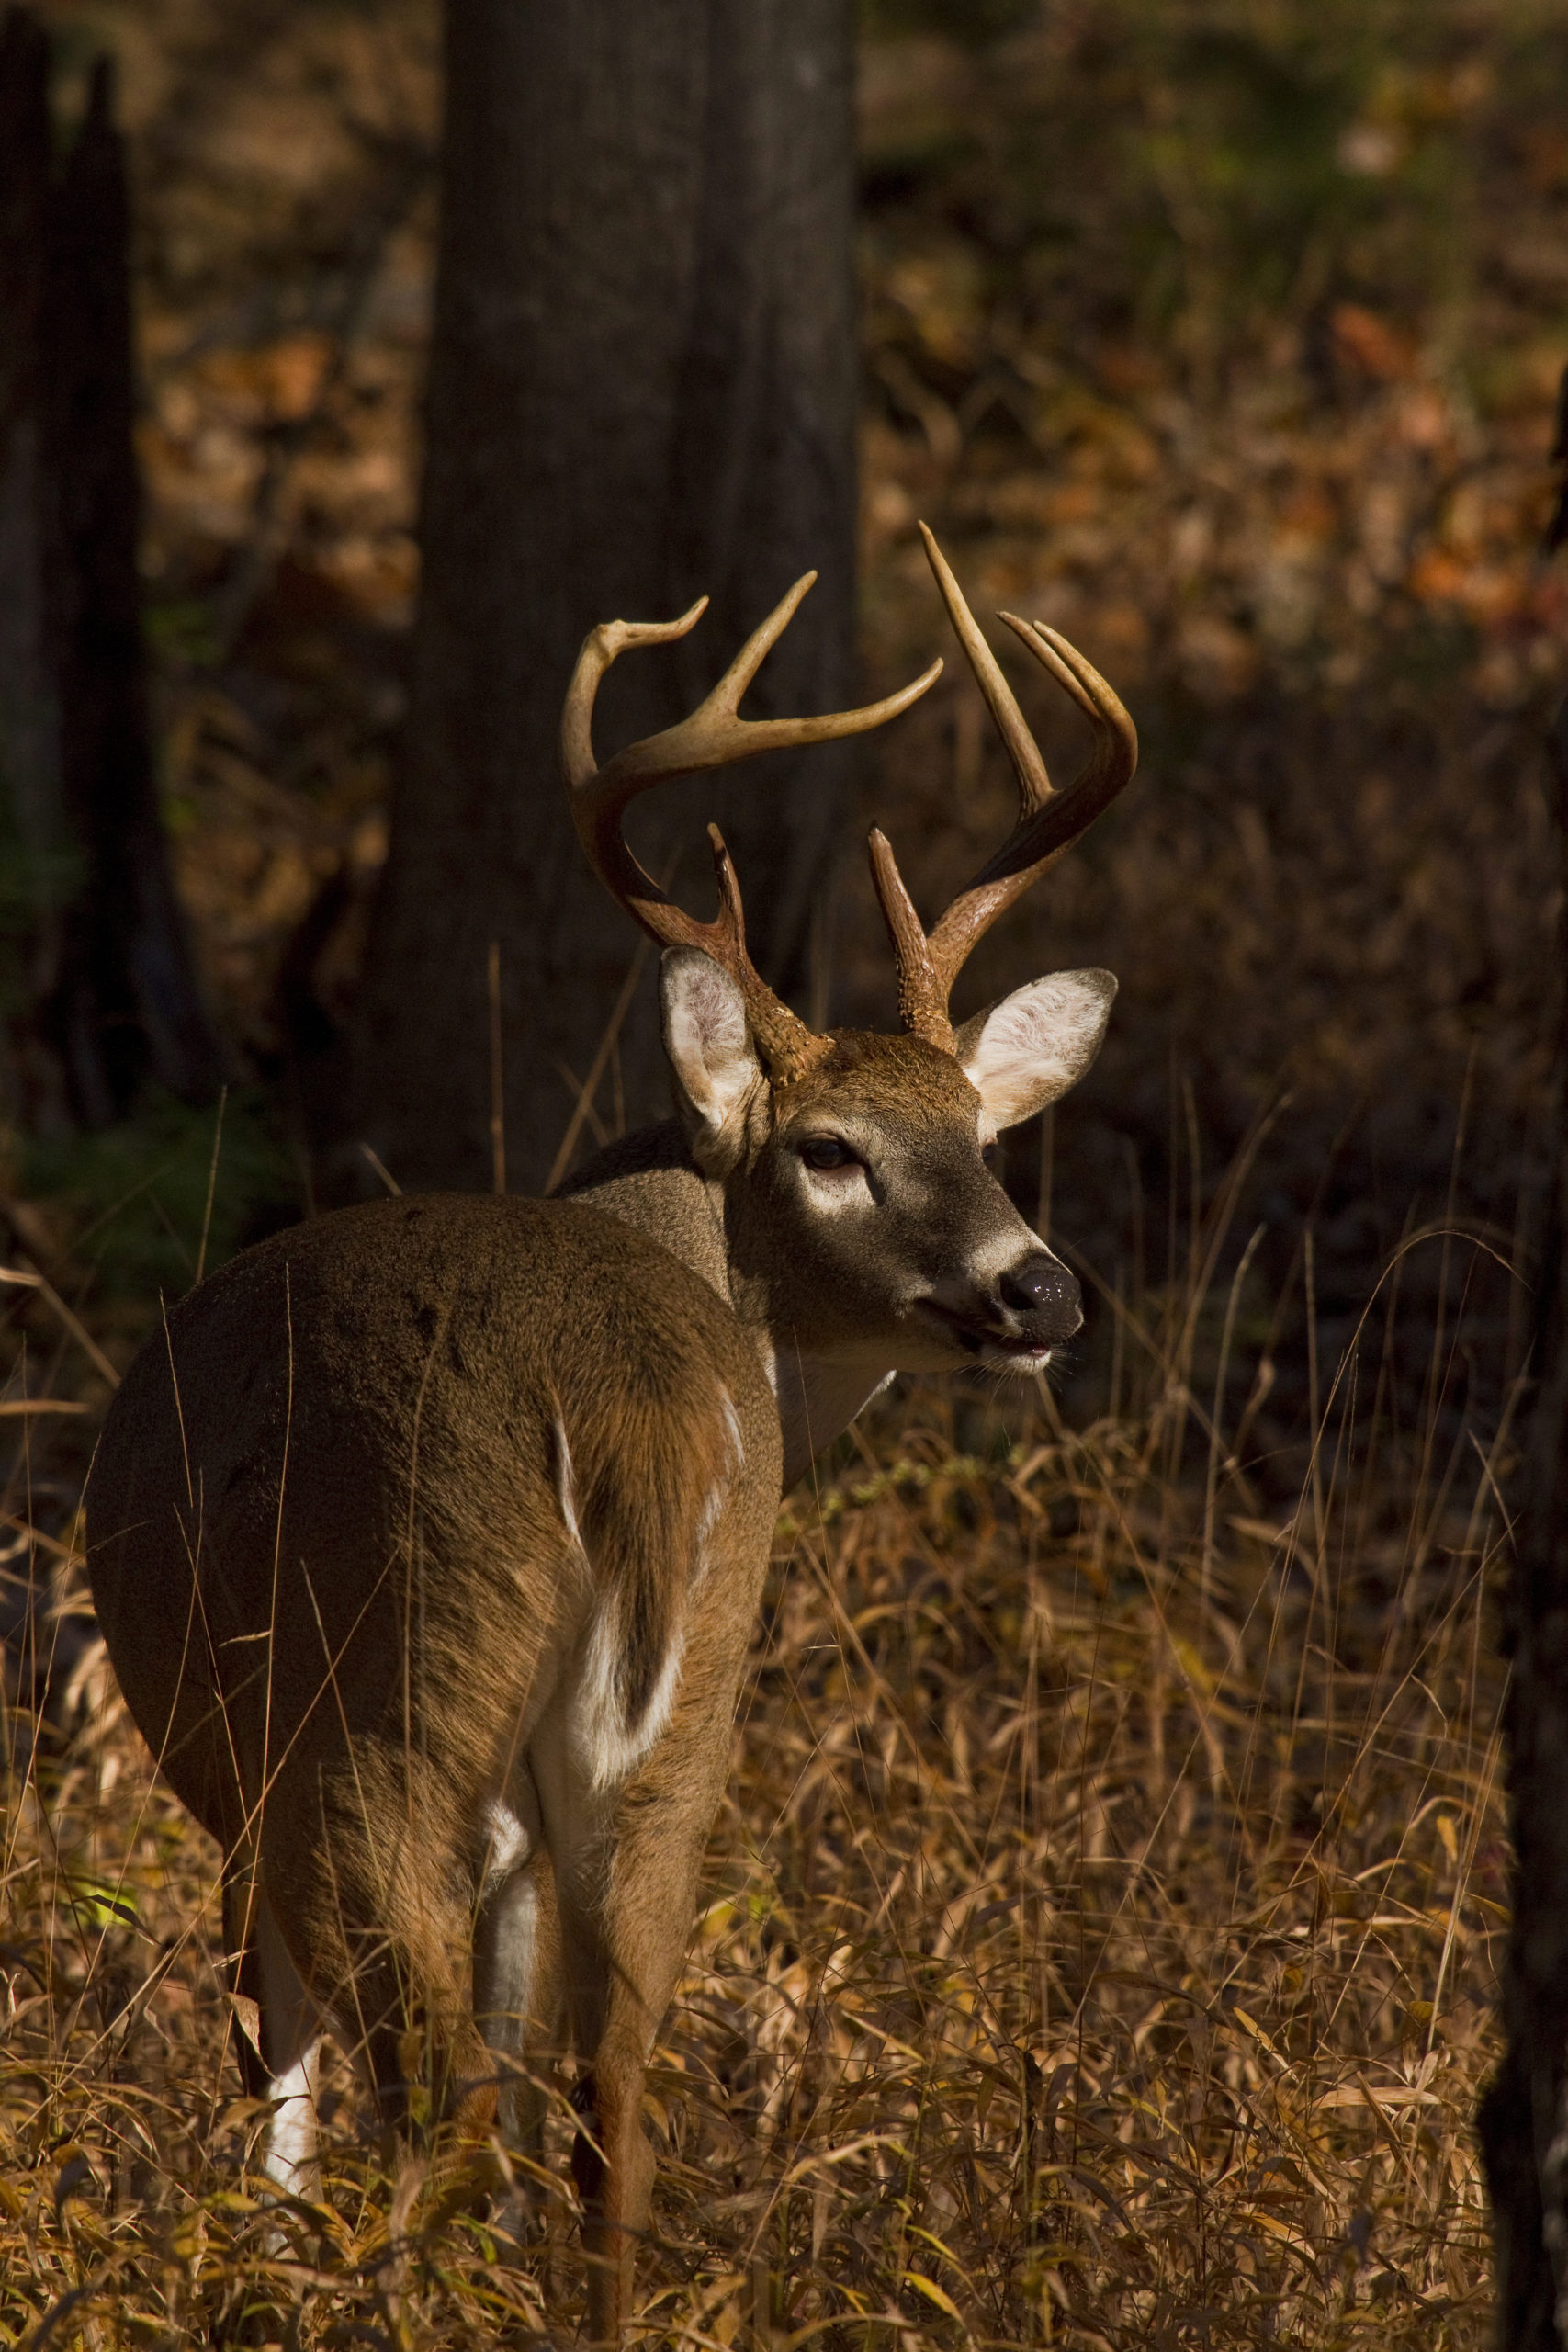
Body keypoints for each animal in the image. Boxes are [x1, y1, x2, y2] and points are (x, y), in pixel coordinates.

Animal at [85, 524, 1136, 2342]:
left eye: (984, 1136)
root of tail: (627, 1416)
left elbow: (277, 2091)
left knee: (435, 2089)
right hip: (684, 1711)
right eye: (834, 1148)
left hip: (377, 1692)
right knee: (607, 2101)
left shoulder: (245, 1776)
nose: (1038, 1287)